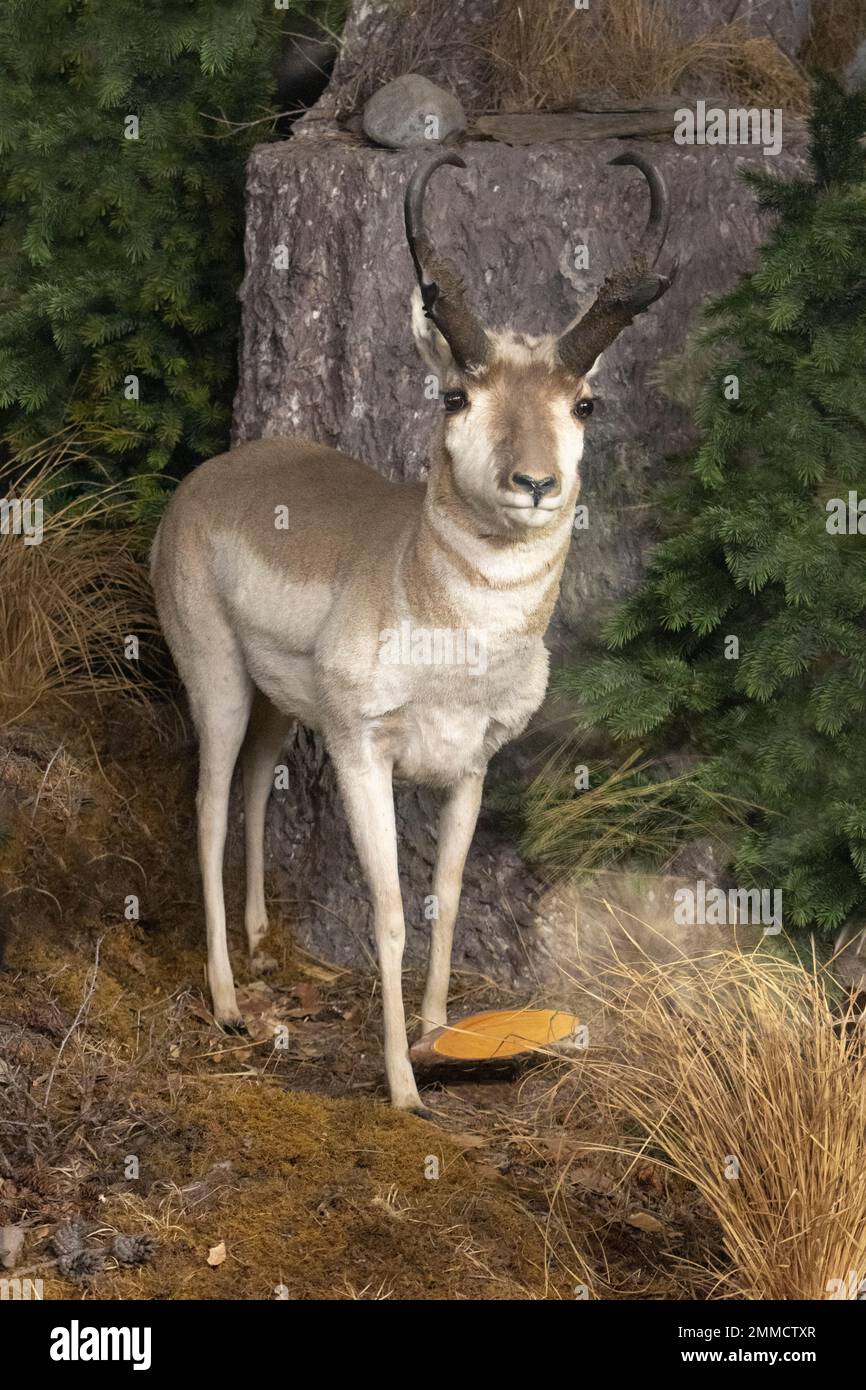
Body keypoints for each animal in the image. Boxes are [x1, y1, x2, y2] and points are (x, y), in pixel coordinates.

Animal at [151, 150, 675, 1111]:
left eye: (584, 402)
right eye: (455, 394)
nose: (534, 483)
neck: (449, 633)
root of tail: (215, 476)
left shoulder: (469, 768)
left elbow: (450, 892)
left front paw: (439, 1033)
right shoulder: (365, 756)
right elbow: (392, 912)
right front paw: (402, 1086)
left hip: (280, 709)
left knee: (252, 787)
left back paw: (261, 945)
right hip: (218, 684)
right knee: (206, 805)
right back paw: (229, 1002)